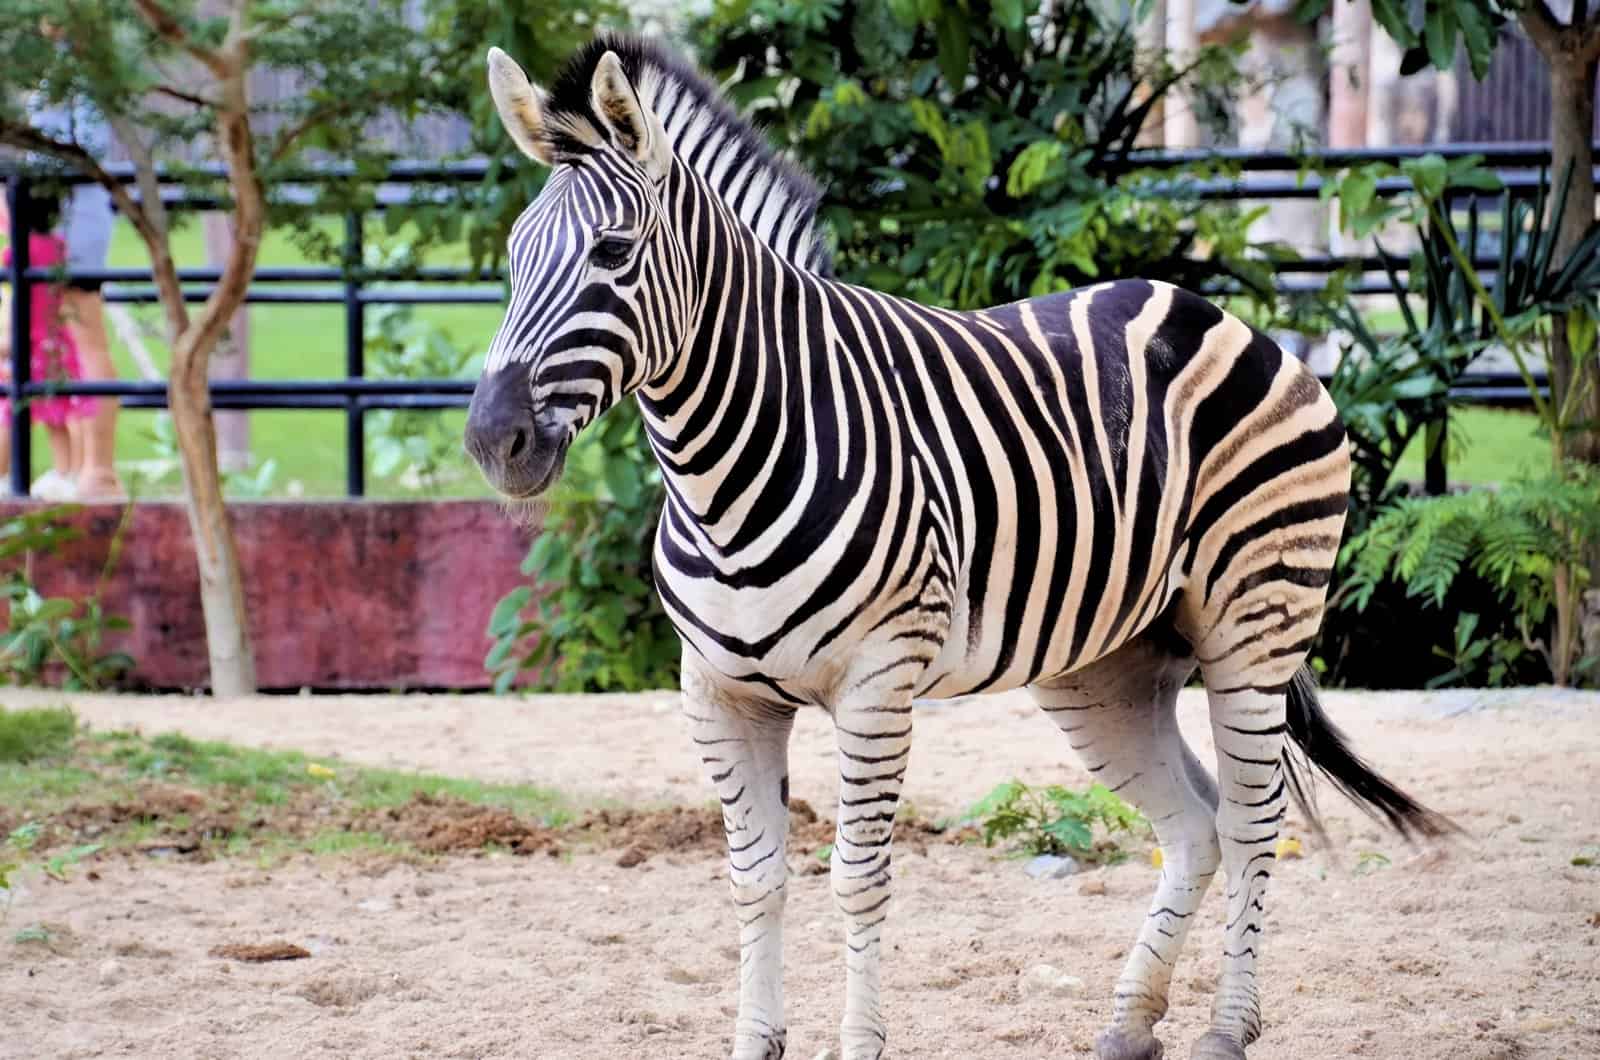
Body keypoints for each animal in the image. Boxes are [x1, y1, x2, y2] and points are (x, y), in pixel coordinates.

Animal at [462, 35, 1448, 1060]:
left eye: (614, 253)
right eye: (512, 256)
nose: (494, 440)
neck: (726, 470)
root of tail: (1216, 313)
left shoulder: (877, 684)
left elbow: (856, 877)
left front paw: (859, 1045)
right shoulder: (719, 691)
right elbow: (755, 877)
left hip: (1254, 624)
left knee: (1256, 823)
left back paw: (1225, 1030)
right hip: (1110, 667)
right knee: (1196, 826)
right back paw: (1128, 1024)